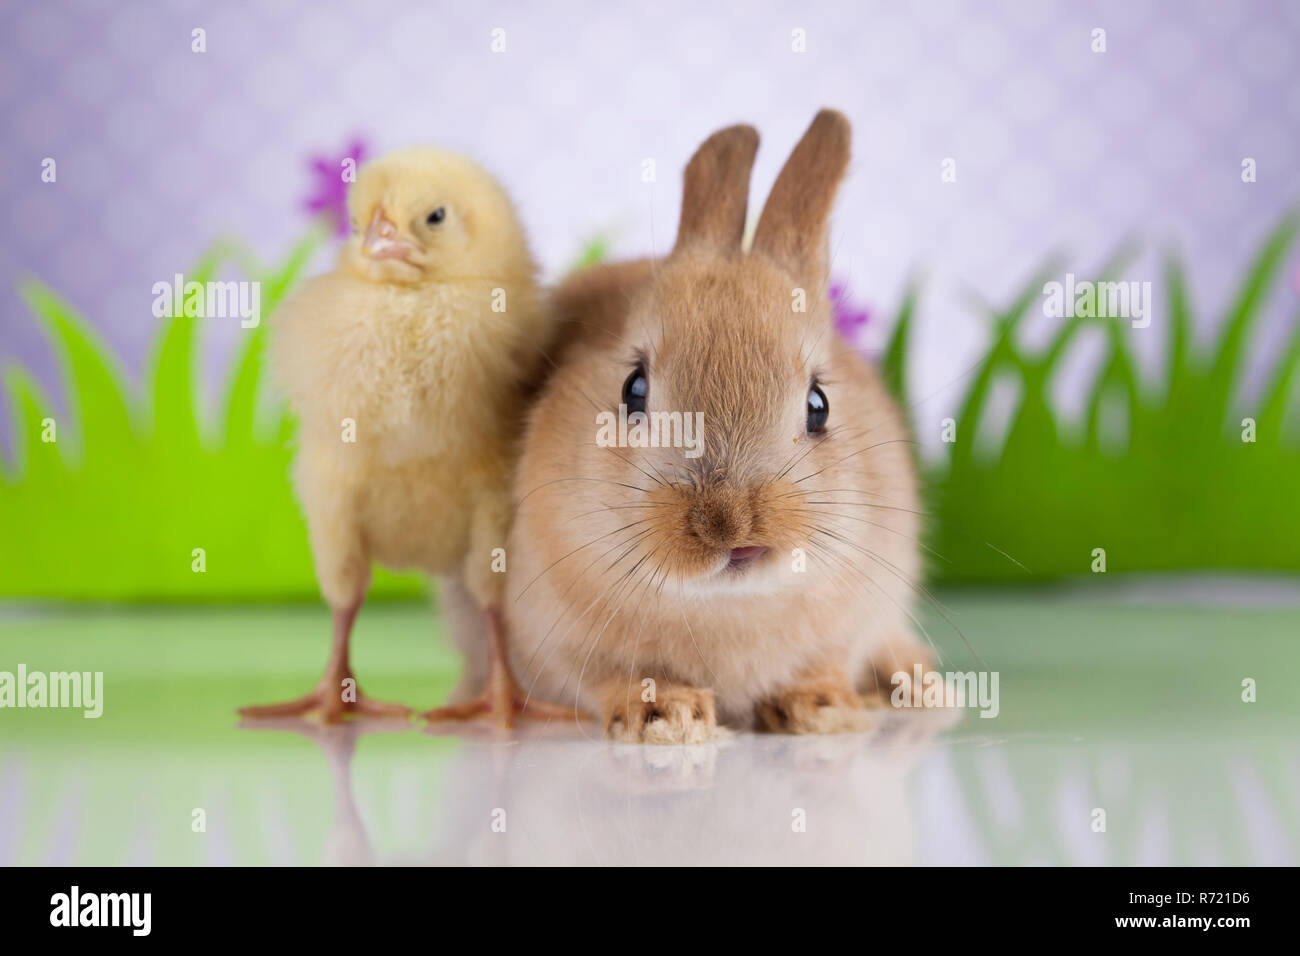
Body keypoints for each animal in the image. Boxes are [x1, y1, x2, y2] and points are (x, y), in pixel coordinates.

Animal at [504, 110, 932, 743]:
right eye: (633, 389)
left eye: (819, 404)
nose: (730, 524)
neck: (726, 605)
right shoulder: (552, 644)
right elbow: (611, 681)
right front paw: (669, 717)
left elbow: (827, 663)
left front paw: (823, 708)